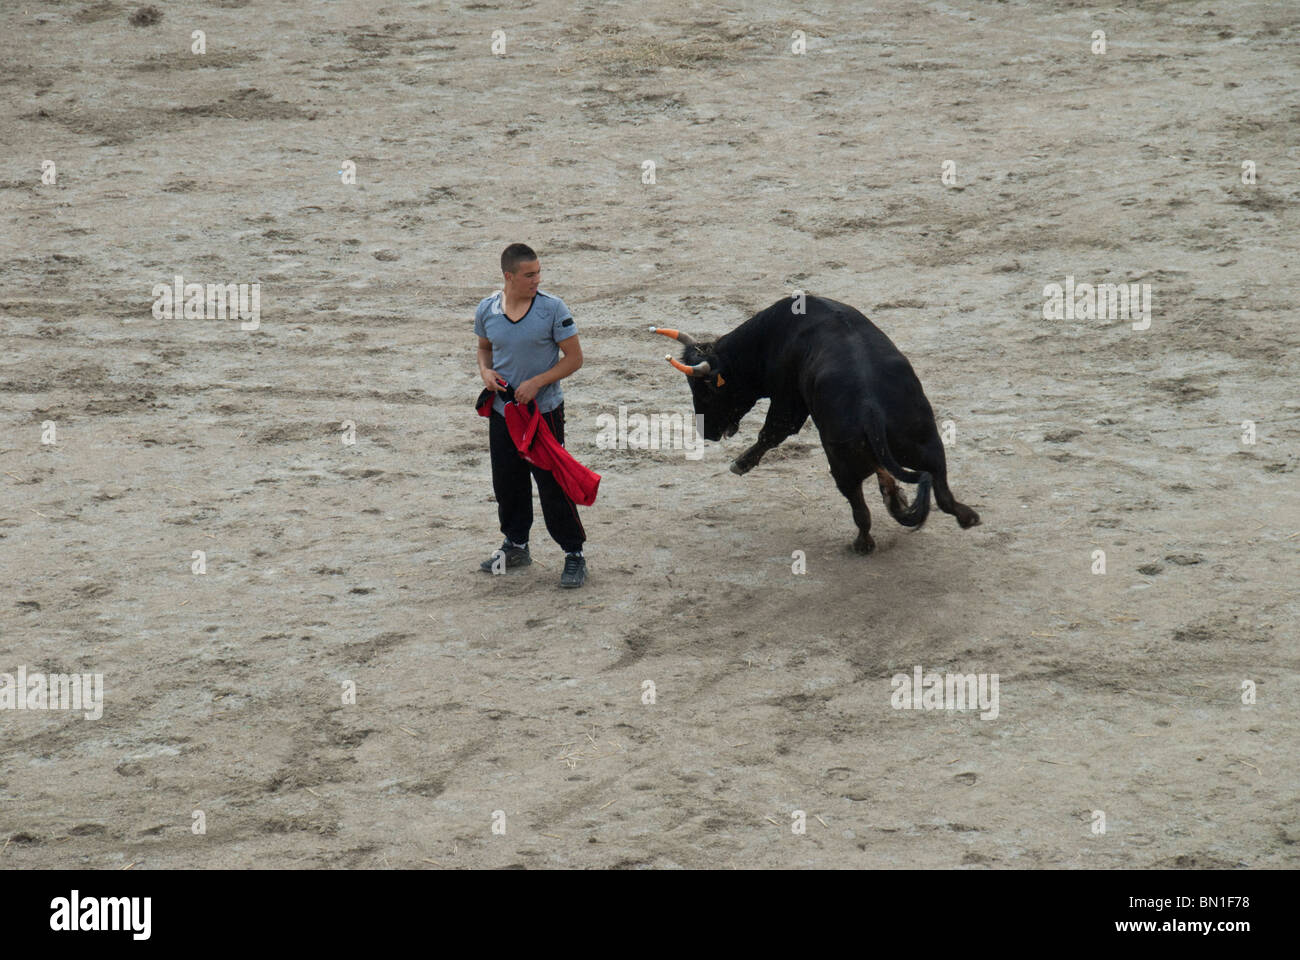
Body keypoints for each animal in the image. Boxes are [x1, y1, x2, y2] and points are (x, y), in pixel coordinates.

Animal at [650, 294, 980, 554]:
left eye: (706, 391)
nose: (707, 432)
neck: (772, 334)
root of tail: (871, 409)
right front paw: (895, 497)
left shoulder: (788, 398)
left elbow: (774, 431)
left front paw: (740, 463)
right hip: (928, 444)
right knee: (942, 493)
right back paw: (966, 517)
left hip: (842, 465)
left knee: (860, 509)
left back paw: (862, 544)